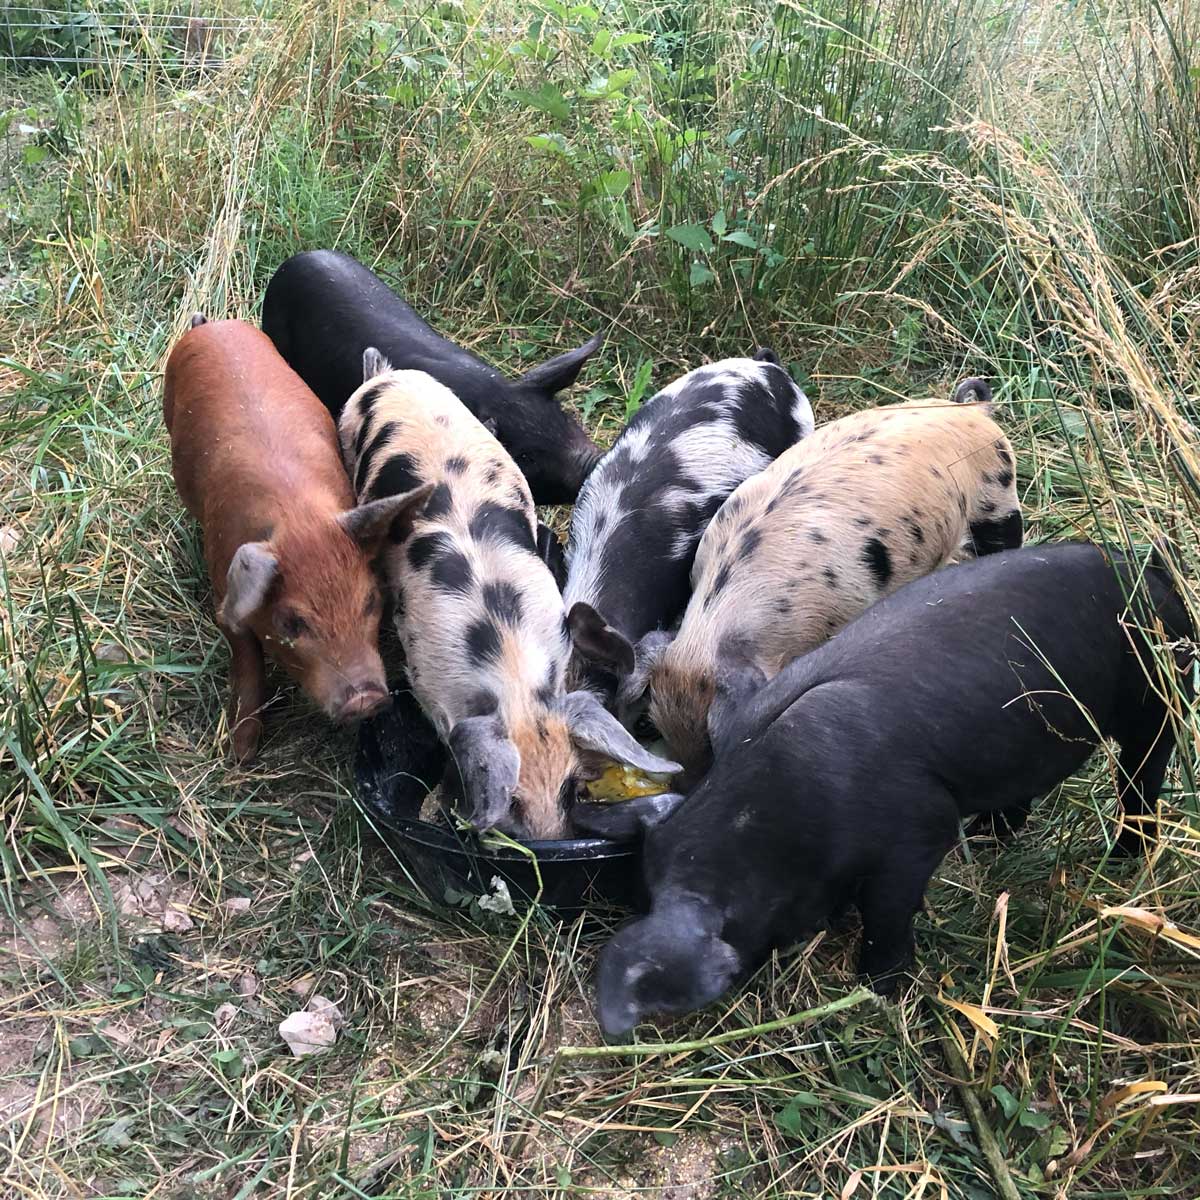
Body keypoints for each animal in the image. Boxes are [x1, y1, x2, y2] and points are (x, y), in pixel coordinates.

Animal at [163, 317, 431, 762]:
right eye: (290, 621)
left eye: (370, 602)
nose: (367, 698)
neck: (298, 519)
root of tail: (211, 324)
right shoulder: (224, 587)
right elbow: (248, 663)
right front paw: (241, 754)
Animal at [338, 349, 679, 839]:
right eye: (512, 801)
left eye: (569, 786)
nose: (548, 839)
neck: (510, 673)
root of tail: (388, 377)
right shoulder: (426, 679)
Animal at [574, 542, 1194, 1037]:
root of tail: (1151, 573)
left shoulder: (918, 827)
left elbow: (888, 909)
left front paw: (880, 988)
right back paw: (991, 838)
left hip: (1160, 696)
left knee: (1143, 777)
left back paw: (1125, 859)